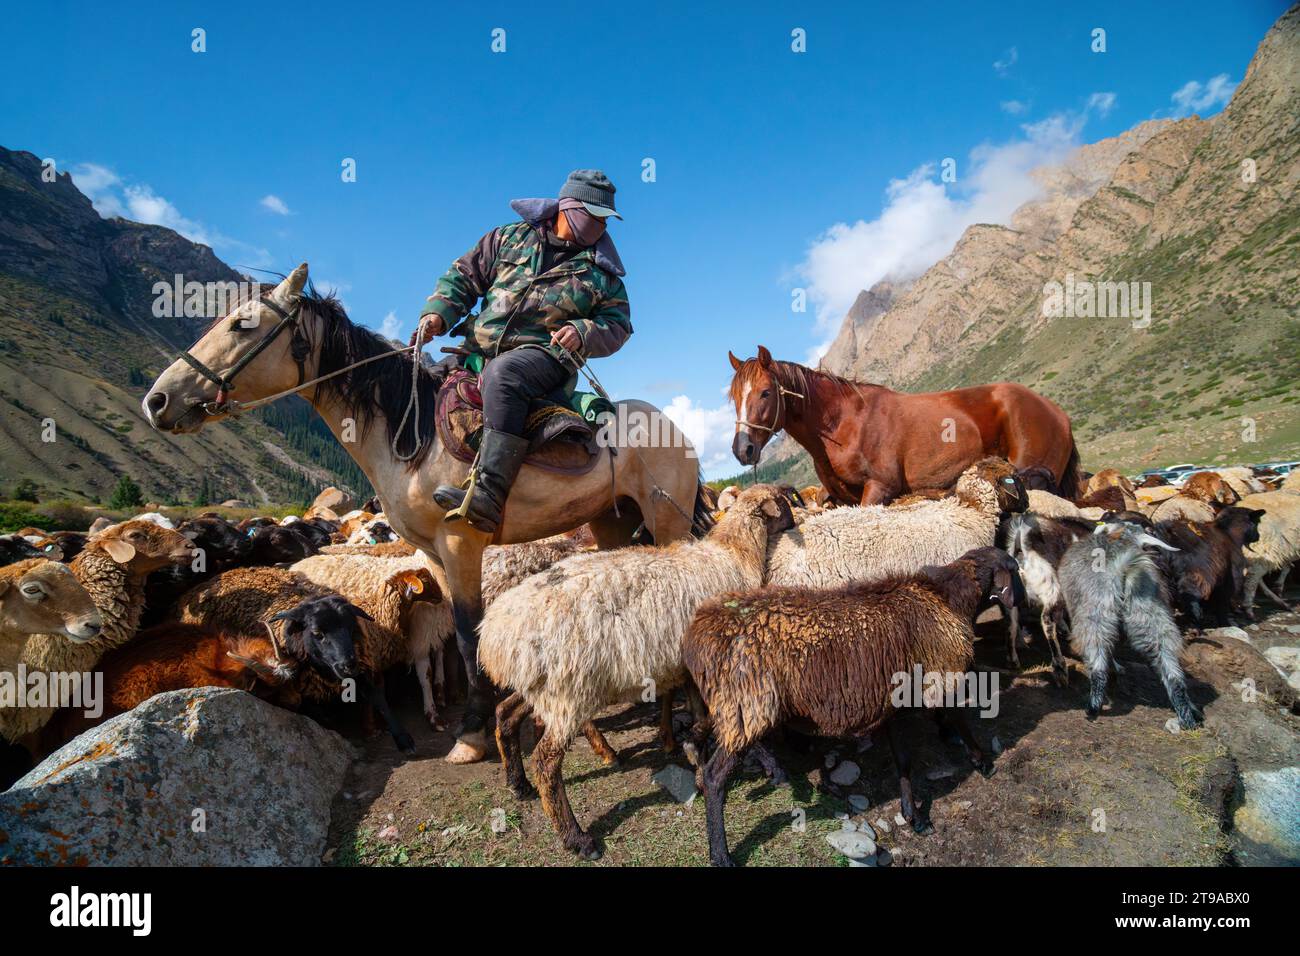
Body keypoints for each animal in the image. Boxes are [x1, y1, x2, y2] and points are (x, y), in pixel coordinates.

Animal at [477, 484, 795, 859]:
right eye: (786, 503)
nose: (797, 523)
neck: (734, 554)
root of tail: (495, 632)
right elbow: (717, 718)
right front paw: (755, 763)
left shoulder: (686, 666)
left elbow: (700, 716)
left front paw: (694, 754)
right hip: (568, 692)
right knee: (545, 761)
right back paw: (577, 838)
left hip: (543, 686)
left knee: (505, 714)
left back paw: (518, 784)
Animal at [683, 546, 1022, 866]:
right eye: (1016, 569)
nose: (1023, 601)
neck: (946, 598)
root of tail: (698, 633)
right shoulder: (939, 678)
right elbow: (961, 721)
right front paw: (982, 761)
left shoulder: (894, 702)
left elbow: (903, 761)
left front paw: (912, 815)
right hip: (749, 702)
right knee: (715, 776)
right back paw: (721, 853)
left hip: (739, 706)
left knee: (706, 733)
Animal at [1057, 523, 1201, 729]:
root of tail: (1125, 567)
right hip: (1150, 616)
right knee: (1172, 671)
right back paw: (1188, 715)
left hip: (1096, 613)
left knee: (1098, 660)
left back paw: (1093, 707)